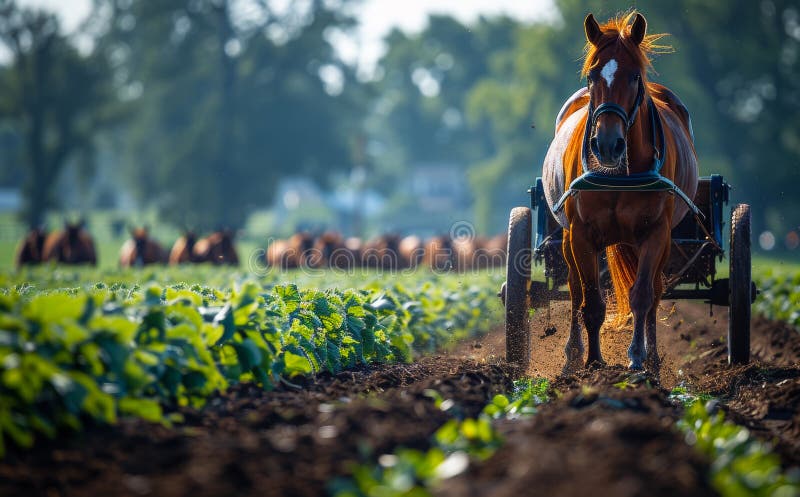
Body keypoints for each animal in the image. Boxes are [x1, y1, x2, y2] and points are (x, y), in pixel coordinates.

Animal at [541, 12, 698, 372]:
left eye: (633, 76)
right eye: (592, 75)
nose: (607, 144)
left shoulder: (655, 233)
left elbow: (641, 295)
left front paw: (638, 356)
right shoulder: (581, 234)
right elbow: (590, 301)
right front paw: (593, 361)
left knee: (655, 290)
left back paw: (651, 355)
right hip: (569, 239)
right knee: (575, 290)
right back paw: (573, 352)